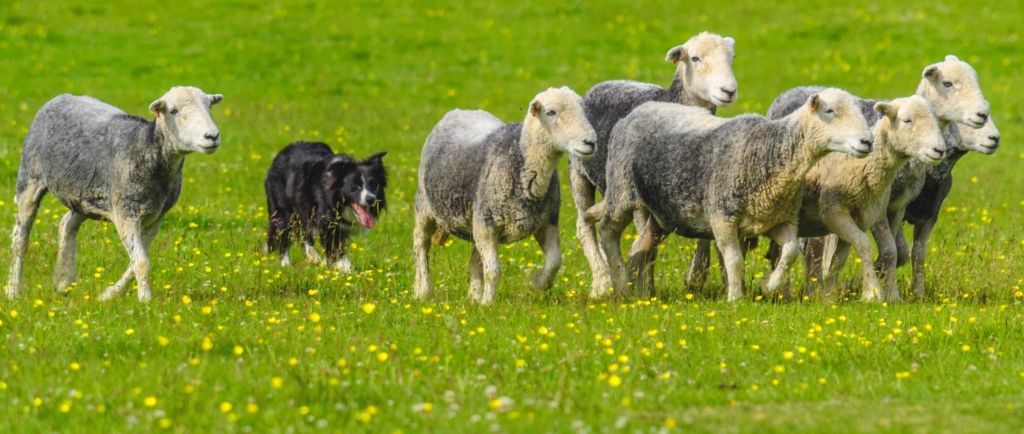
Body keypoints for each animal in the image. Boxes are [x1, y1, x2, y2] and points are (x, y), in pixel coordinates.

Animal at [7, 87, 223, 301]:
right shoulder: (126, 212)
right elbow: (141, 262)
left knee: (66, 224)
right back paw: (14, 289)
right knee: (20, 238)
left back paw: (63, 282)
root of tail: (61, 97)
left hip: (84, 197)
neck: (147, 148)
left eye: (208, 107)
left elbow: (138, 260)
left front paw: (110, 293)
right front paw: (145, 300)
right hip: (30, 178)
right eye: (173, 111)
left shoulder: (155, 217)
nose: (212, 136)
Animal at [414, 87, 597, 305]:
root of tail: (460, 111)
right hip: (425, 206)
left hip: (476, 221)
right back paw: (423, 290)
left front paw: (539, 282)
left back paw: (473, 296)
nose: (591, 142)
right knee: (420, 245)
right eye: (551, 112)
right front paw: (488, 304)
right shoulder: (487, 226)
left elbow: (555, 261)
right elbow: (494, 270)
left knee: (475, 258)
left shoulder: (547, 223)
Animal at [569, 32, 738, 298]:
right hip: (580, 173)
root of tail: (600, 85)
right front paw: (646, 287)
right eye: (695, 58)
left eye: (731, 57)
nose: (728, 90)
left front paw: (696, 277)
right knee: (583, 226)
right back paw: (601, 283)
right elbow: (647, 243)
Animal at [592, 88, 873, 302]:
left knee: (639, 247)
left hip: (661, 215)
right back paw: (619, 282)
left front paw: (767, 285)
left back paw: (636, 292)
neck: (769, 151)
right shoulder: (722, 217)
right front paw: (735, 299)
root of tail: (637, 111)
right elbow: (735, 260)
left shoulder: (779, 218)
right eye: (830, 111)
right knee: (607, 232)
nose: (867, 141)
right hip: (621, 191)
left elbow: (791, 252)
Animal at [785, 96, 946, 302]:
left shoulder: (869, 214)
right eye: (907, 120)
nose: (939, 150)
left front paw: (830, 298)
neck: (860, 164)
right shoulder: (834, 211)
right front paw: (873, 293)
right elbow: (865, 246)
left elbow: (844, 259)